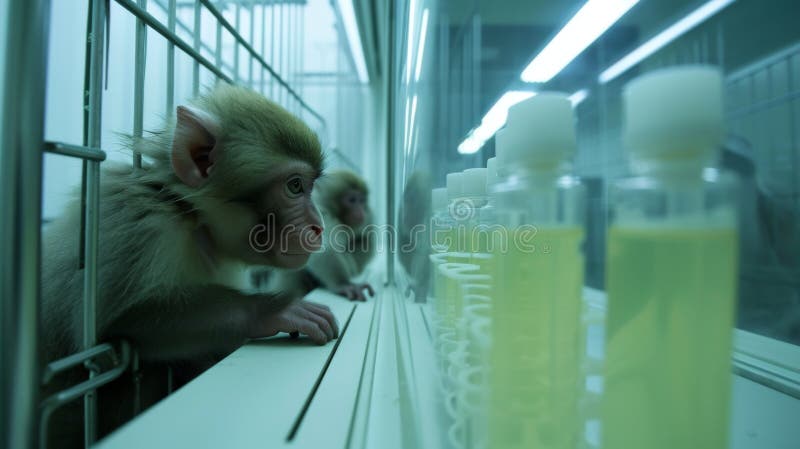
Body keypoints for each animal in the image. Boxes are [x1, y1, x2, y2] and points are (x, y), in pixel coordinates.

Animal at [40, 84, 338, 446]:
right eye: (295, 186)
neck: (193, 218)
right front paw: (270, 310)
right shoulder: (138, 228)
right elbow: (110, 334)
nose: (318, 226)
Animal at [268, 169, 376, 301]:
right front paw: (343, 284)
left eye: (362, 200)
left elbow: (365, 240)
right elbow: (323, 249)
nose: (361, 211)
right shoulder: (322, 215)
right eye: (352, 200)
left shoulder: (368, 218)